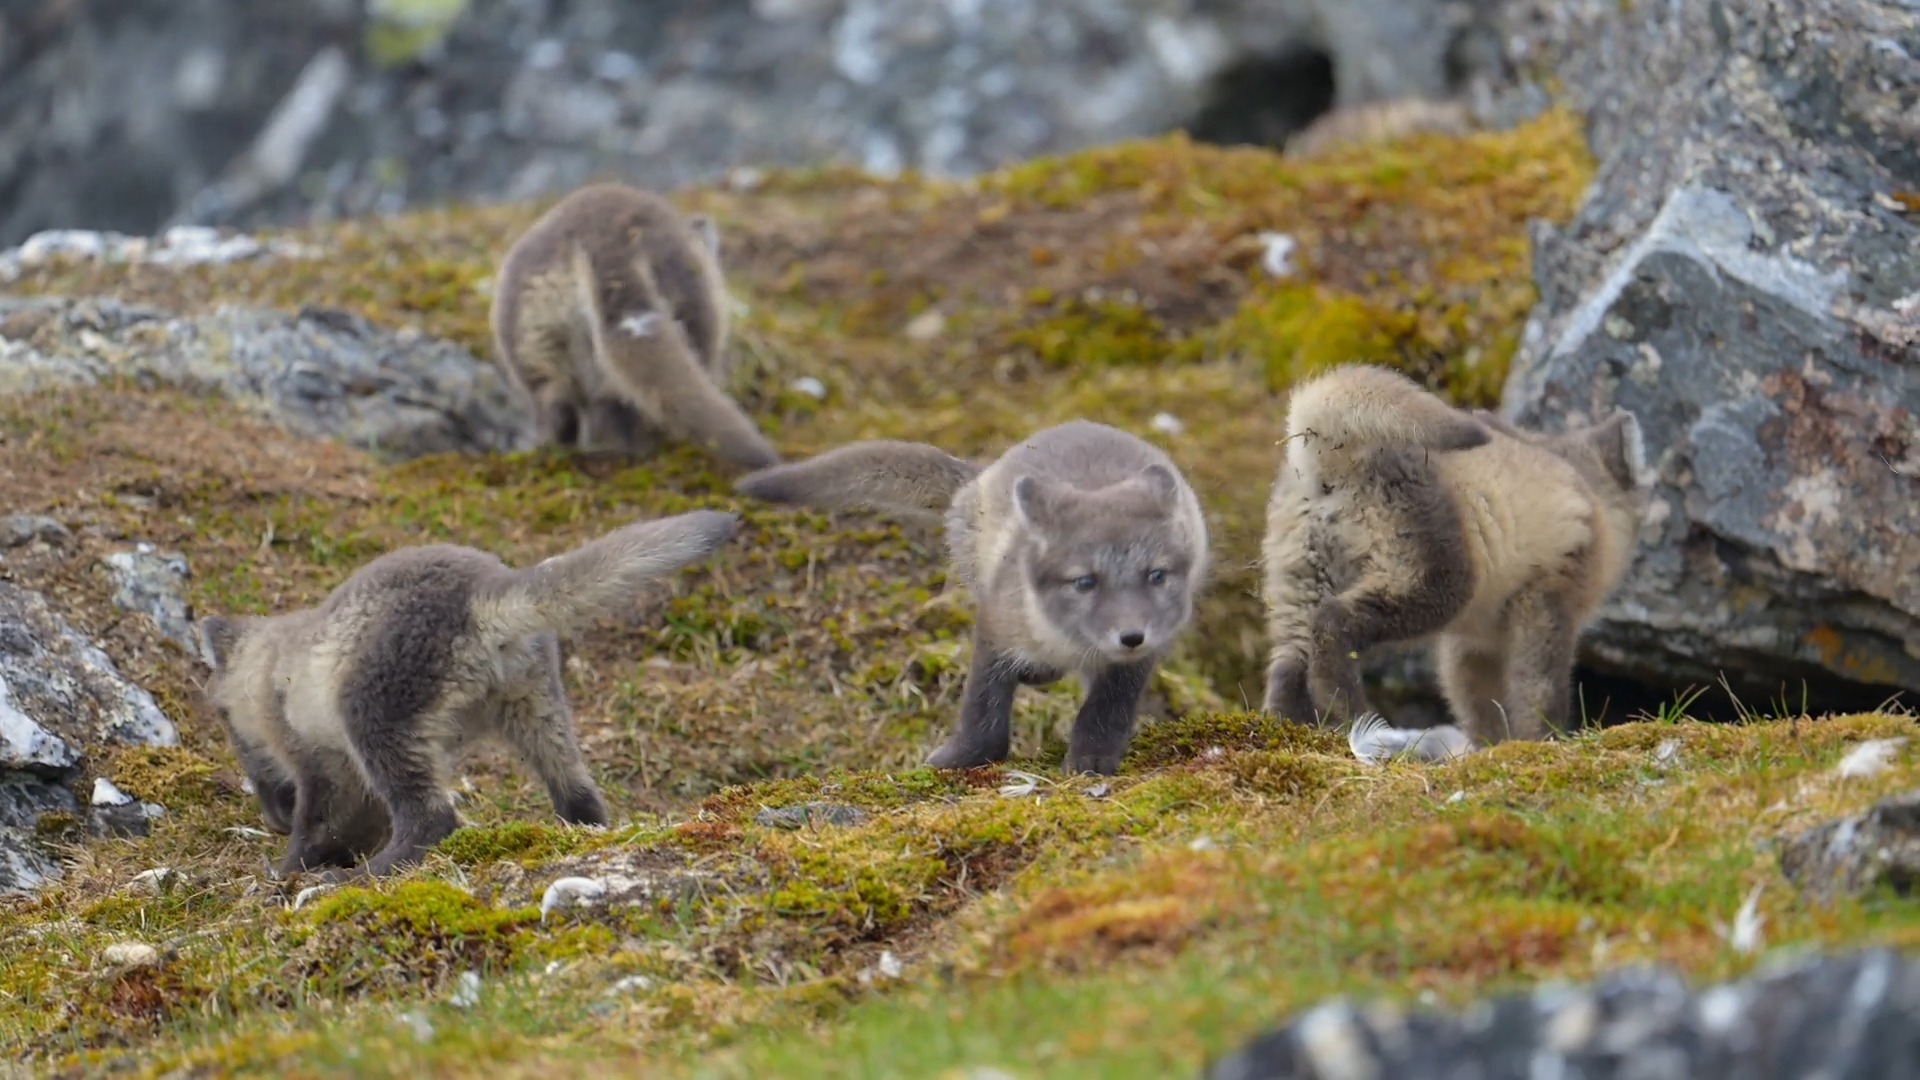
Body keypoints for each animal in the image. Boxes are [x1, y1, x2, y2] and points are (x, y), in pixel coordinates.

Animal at [197, 510, 740, 880]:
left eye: (222, 718)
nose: (272, 817)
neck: (273, 668)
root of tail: (490, 589)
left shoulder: (322, 758)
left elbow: (317, 823)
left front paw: (288, 870)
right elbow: (350, 824)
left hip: (376, 718)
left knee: (433, 819)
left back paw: (363, 877)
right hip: (536, 707)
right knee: (581, 794)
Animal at [733, 421, 1210, 775]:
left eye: (1156, 575)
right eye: (1085, 582)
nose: (1131, 635)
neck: (1069, 644)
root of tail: (981, 472)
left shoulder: (1135, 660)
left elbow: (1106, 710)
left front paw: (1092, 758)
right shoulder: (997, 627)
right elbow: (982, 711)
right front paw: (960, 760)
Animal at [1260, 364, 1653, 759]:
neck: (1594, 502)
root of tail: (1327, 450)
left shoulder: (1472, 643)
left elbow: (1478, 707)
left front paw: (1492, 748)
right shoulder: (1545, 603)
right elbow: (1538, 692)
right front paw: (1543, 741)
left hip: (1301, 587)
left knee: (1286, 671)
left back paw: (1289, 731)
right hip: (1430, 584)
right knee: (1332, 623)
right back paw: (1353, 717)